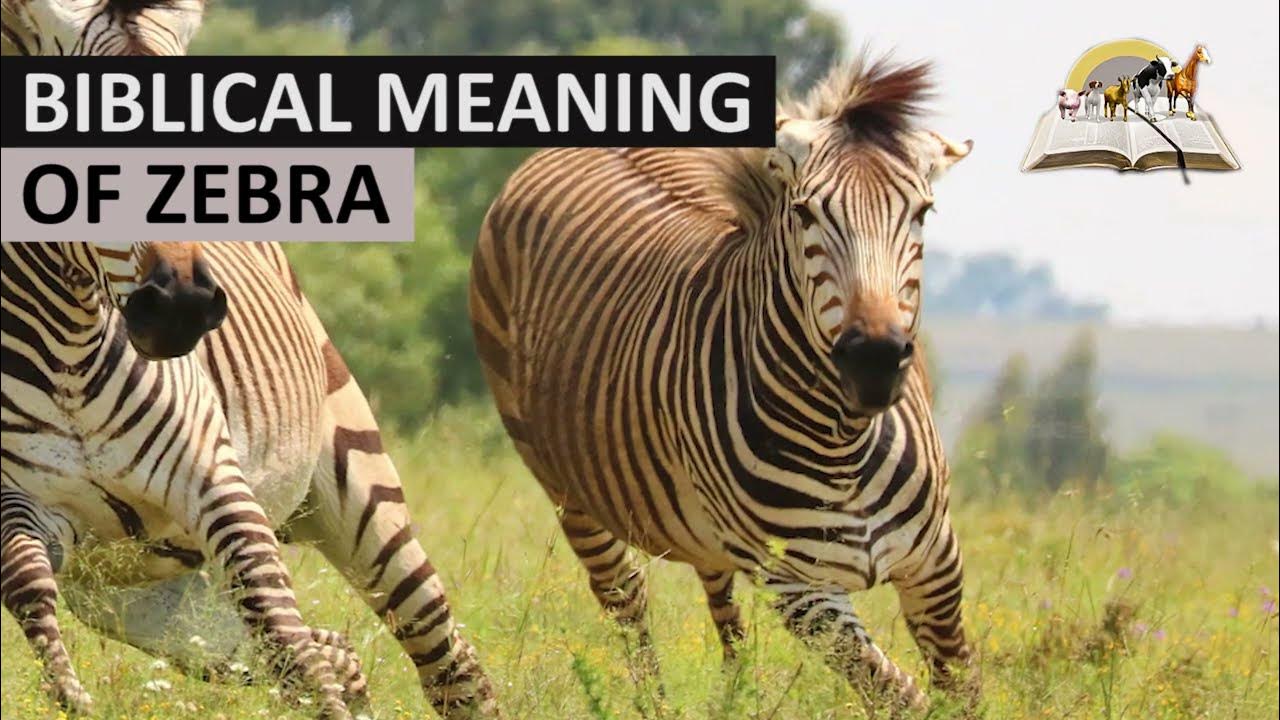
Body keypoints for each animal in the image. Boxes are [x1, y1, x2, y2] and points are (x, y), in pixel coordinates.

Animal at [1, 5, 498, 719]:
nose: (180, 306)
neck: (68, 349)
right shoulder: (21, 501)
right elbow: (26, 587)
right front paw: (72, 699)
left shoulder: (214, 478)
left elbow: (280, 624)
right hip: (144, 601)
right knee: (315, 651)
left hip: (357, 483)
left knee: (441, 655)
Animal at [470, 56, 975, 710]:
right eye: (806, 213)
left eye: (922, 213)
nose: (876, 362)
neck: (844, 442)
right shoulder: (801, 589)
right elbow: (902, 695)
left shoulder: (936, 561)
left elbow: (960, 690)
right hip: (565, 487)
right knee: (625, 599)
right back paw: (653, 704)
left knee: (721, 603)